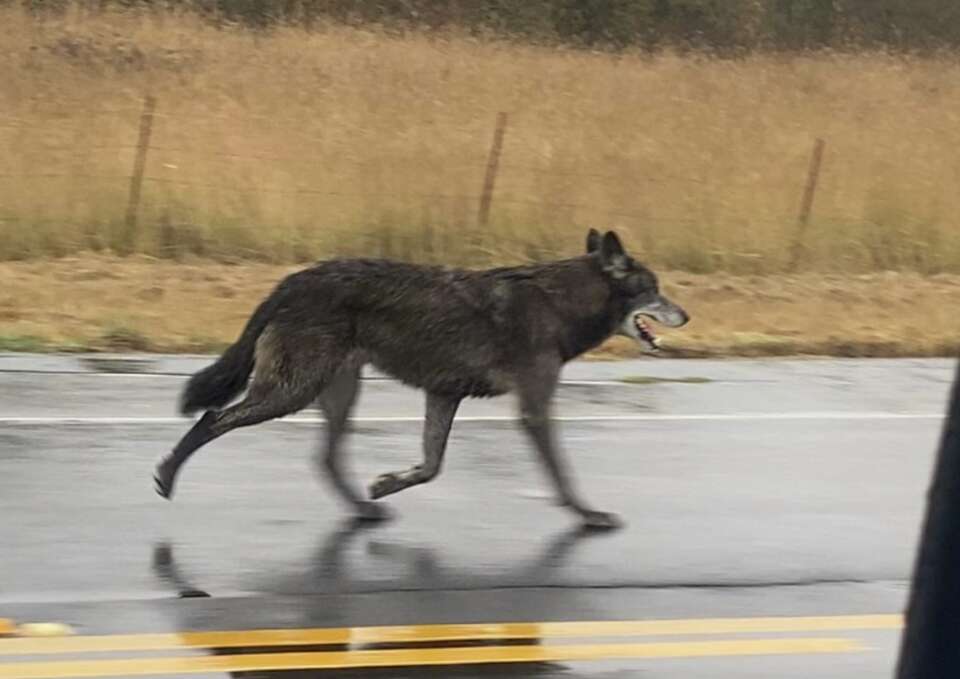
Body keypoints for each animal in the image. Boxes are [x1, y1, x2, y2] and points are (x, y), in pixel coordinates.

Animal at [154, 229, 689, 529]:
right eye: (655, 290)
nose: (686, 314)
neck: (559, 303)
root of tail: (292, 280)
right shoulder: (533, 409)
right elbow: (562, 475)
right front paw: (588, 516)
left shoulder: (444, 394)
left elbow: (431, 467)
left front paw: (386, 484)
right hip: (290, 392)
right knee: (212, 417)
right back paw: (166, 476)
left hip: (335, 393)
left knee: (324, 457)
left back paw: (363, 511)